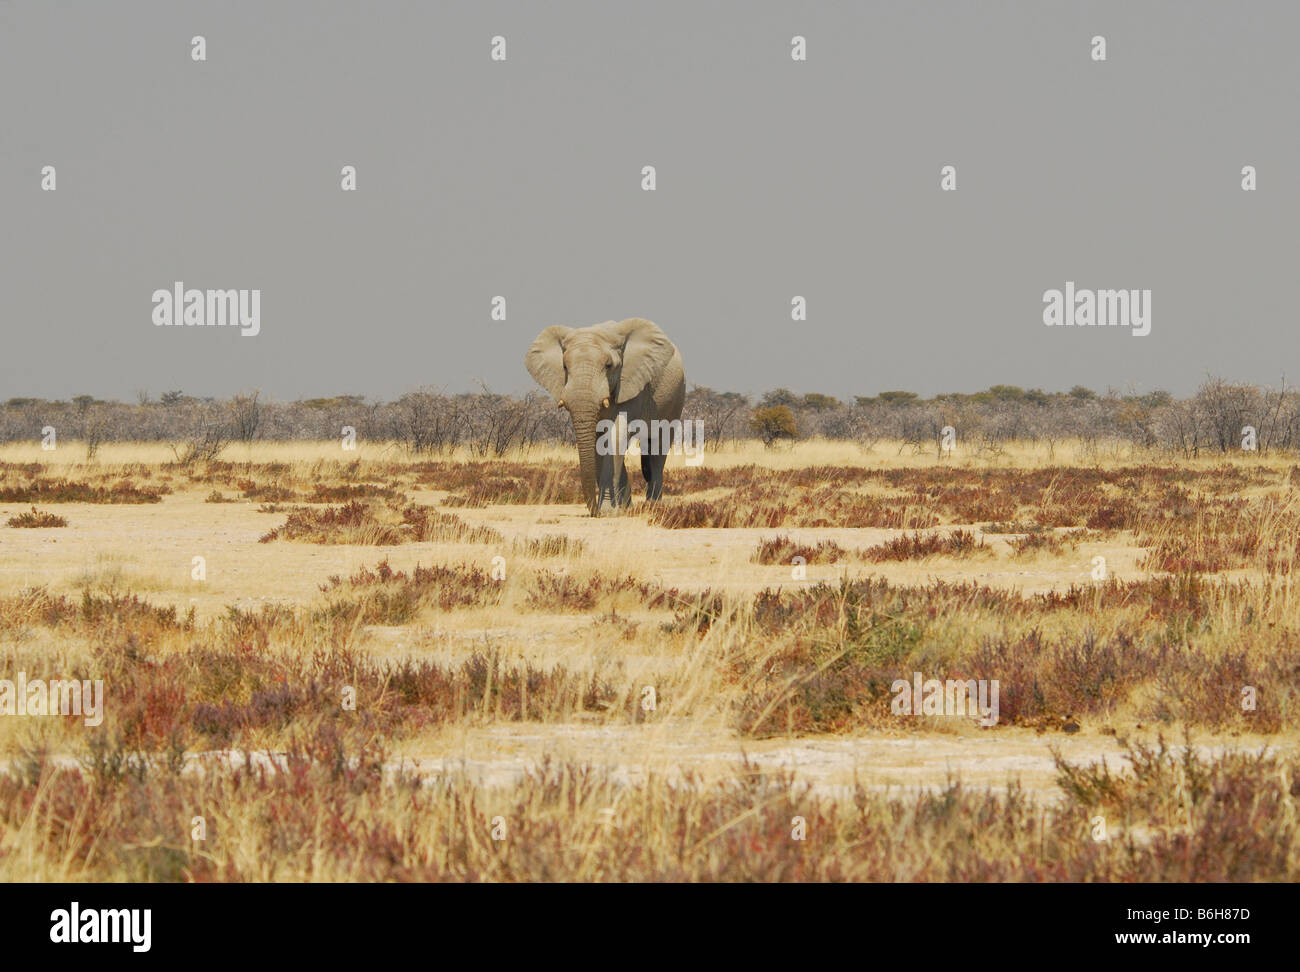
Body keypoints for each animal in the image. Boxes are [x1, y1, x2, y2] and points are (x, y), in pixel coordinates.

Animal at [526, 318, 685, 516]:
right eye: (564, 367)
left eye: (609, 366)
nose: (594, 512)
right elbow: (599, 439)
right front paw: (614, 509)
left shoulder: (632, 383)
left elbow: (615, 436)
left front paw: (608, 511)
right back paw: (628, 507)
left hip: (675, 397)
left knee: (657, 447)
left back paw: (653, 505)